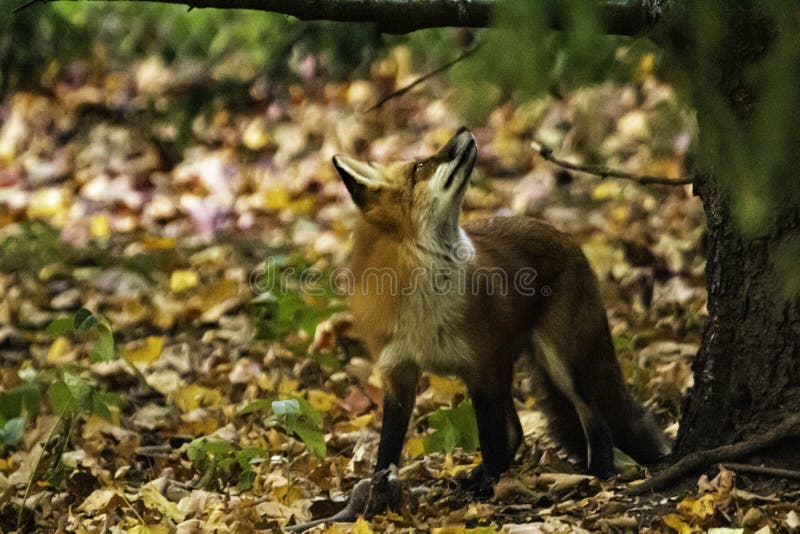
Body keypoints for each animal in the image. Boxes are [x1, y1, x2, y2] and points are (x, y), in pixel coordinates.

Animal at [331, 127, 669, 493]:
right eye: (420, 166)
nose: (463, 129)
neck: (425, 295)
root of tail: (559, 233)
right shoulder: (399, 370)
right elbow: (388, 447)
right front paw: (379, 491)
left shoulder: (480, 365)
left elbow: (490, 438)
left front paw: (486, 491)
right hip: (512, 365)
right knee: (518, 429)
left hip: (561, 362)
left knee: (593, 419)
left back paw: (599, 474)